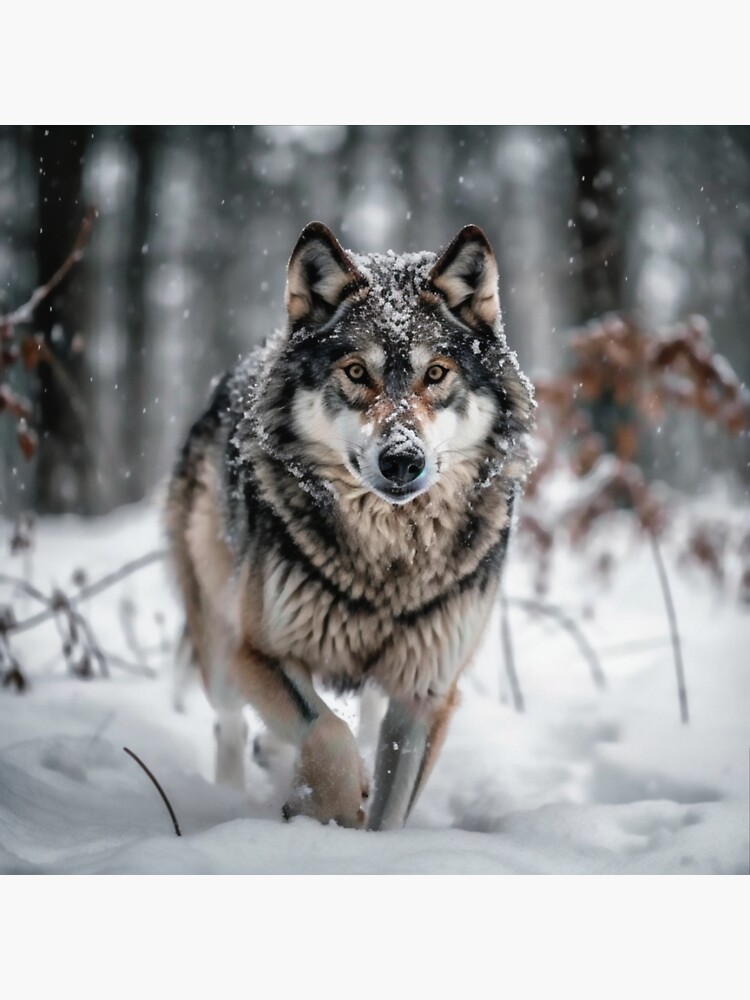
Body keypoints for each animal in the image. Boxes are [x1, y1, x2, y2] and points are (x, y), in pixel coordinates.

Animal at [166, 222, 533, 831]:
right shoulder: (257, 651)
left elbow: (390, 806)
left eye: (436, 373)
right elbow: (327, 730)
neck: (390, 557)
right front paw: (333, 810)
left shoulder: (425, 692)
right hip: (218, 643)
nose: (402, 459)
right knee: (231, 723)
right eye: (358, 372)